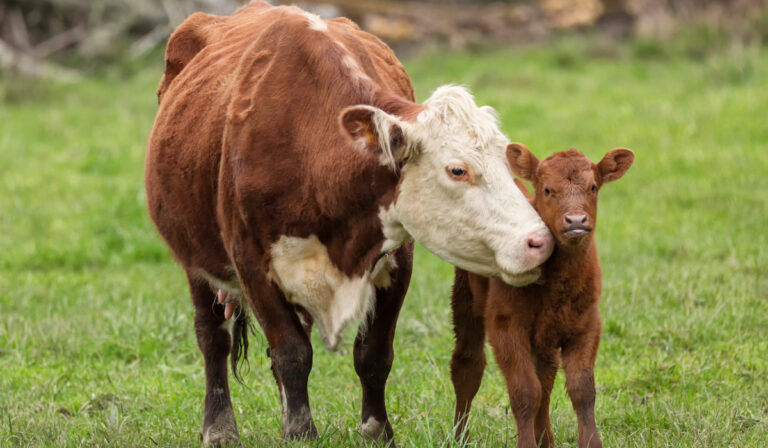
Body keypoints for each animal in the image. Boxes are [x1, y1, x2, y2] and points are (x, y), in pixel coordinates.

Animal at [145, 1, 553, 445]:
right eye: (457, 169)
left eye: (506, 159)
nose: (539, 241)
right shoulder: (252, 264)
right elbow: (291, 353)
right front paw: (301, 432)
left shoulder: (397, 260)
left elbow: (372, 354)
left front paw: (375, 429)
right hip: (197, 261)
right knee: (212, 337)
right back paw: (219, 427)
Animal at [449, 145, 634, 448]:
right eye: (547, 190)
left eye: (593, 187)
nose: (576, 220)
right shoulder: (506, 326)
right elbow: (525, 392)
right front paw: (526, 443)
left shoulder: (587, 325)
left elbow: (582, 389)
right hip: (466, 299)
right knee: (467, 365)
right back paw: (459, 437)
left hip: (545, 334)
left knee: (545, 379)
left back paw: (545, 438)